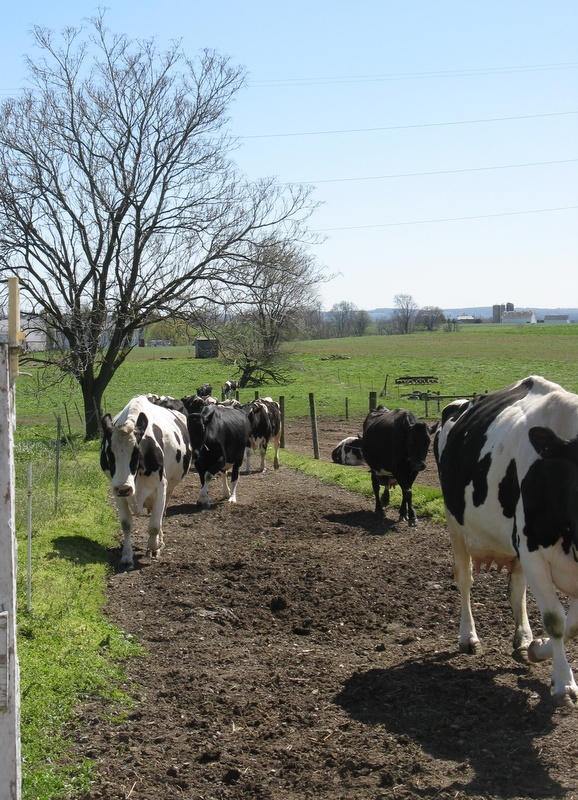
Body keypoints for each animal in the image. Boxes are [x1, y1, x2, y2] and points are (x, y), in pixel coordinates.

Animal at [100, 395, 192, 568]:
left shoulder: (161, 487)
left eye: (137, 452)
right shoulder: (116, 491)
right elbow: (126, 524)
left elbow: (155, 525)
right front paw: (126, 555)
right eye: (109, 453)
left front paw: (155, 546)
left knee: (162, 515)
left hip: (170, 488)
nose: (124, 488)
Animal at [435, 375, 578, 705]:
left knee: (517, 588)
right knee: (464, 579)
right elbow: (556, 619)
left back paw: (523, 638)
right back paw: (469, 637)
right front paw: (564, 683)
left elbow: (573, 624)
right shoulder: (533, 551)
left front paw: (536, 648)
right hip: (455, 522)